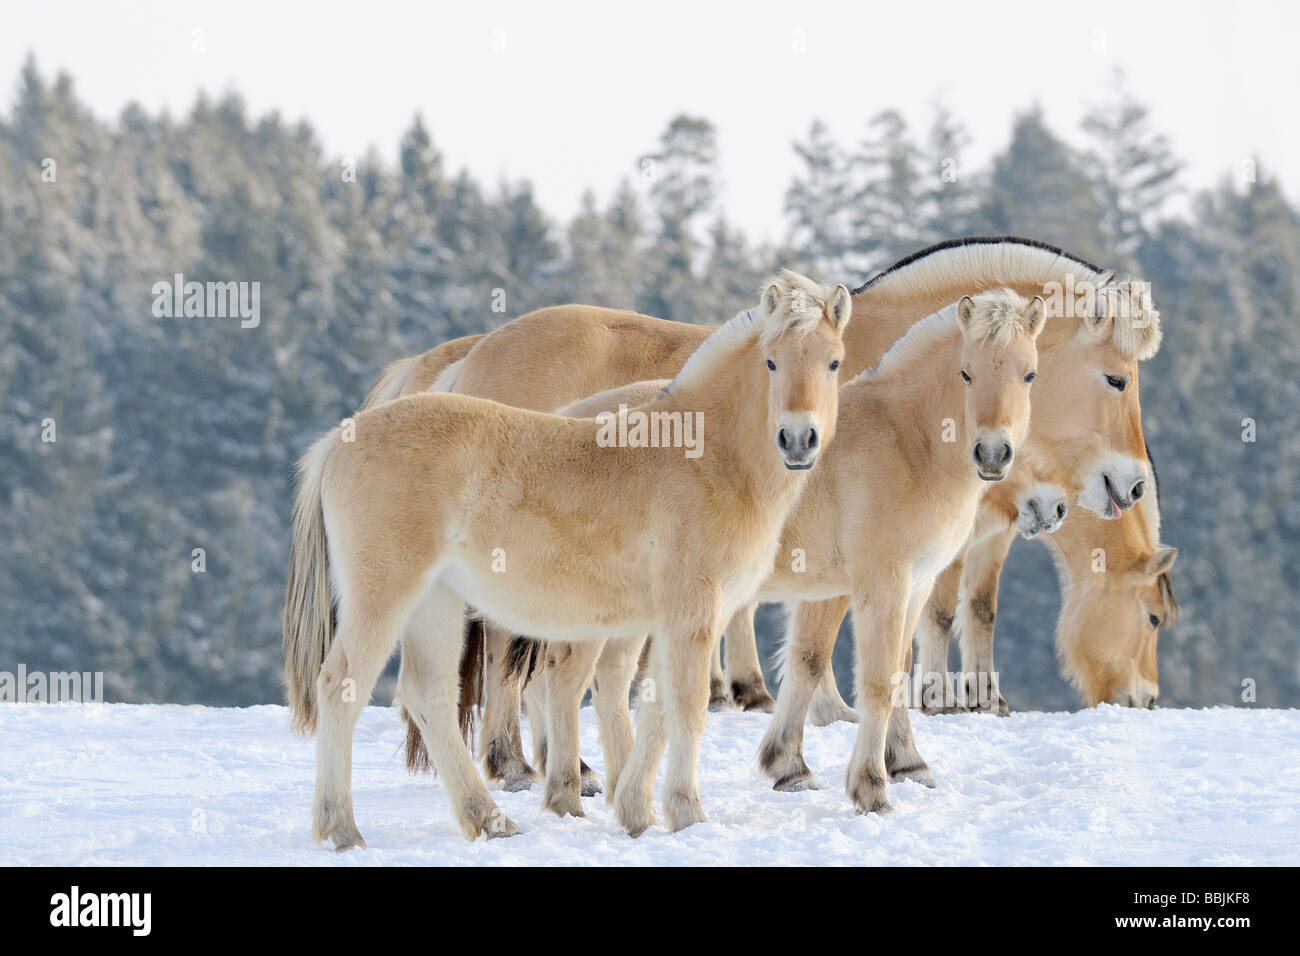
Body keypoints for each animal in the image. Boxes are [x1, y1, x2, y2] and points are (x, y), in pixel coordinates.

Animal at [282, 271, 851, 845]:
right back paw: (342, 829)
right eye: (771, 361)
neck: (704, 456)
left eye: (833, 362)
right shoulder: (692, 608)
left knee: (430, 697)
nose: (798, 439)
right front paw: (688, 814)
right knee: (340, 686)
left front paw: (638, 812)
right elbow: (686, 706)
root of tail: (338, 441)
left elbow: (656, 708)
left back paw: (490, 820)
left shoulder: (667, 620)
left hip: (435, 603)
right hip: (385, 597)